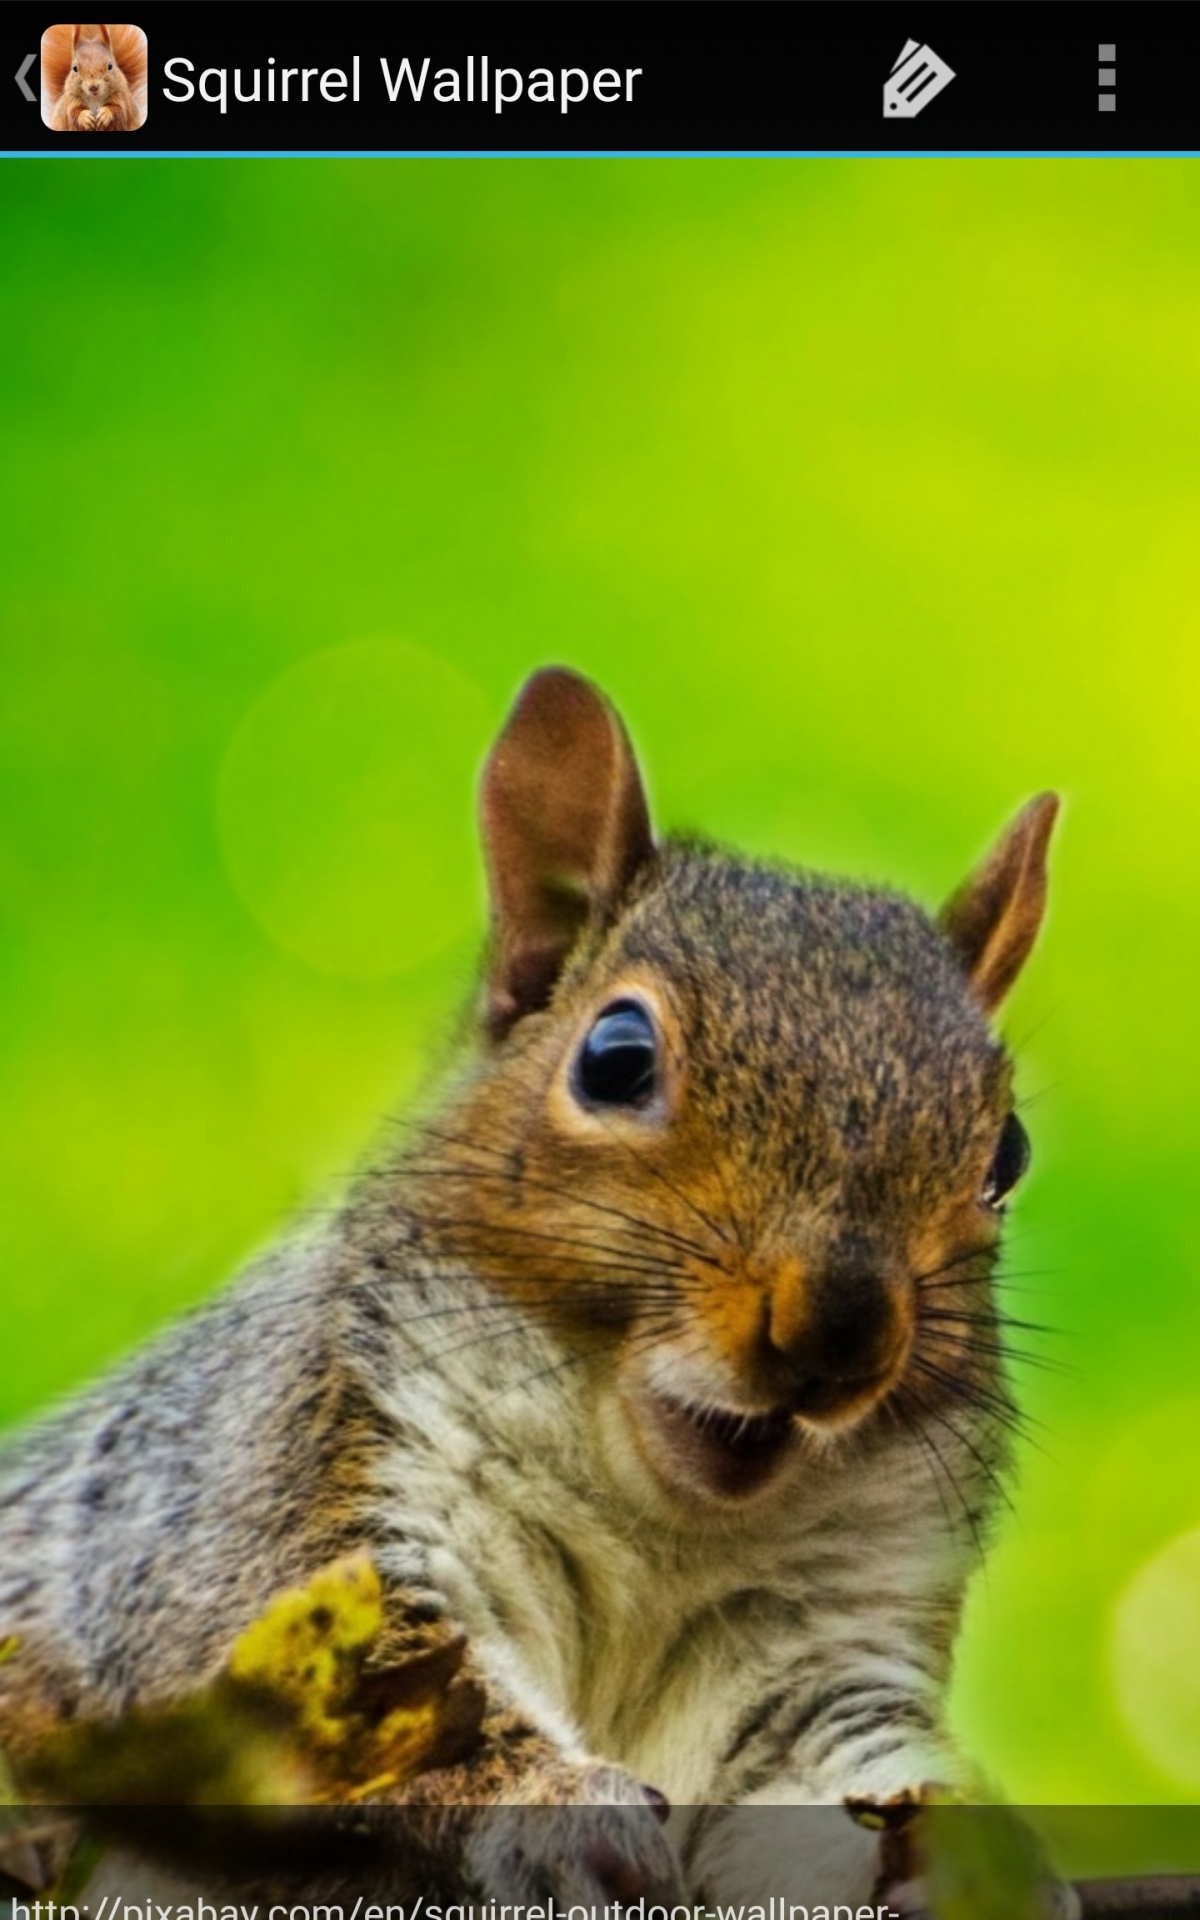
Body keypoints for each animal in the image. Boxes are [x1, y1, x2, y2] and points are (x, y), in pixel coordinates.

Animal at [0, 668, 1058, 1909]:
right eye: (615, 1058)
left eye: (1008, 1155)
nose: (839, 1330)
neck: (661, 1526)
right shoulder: (279, 1509)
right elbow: (385, 1715)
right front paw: (559, 1809)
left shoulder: (808, 1656)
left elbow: (817, 1784)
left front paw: (969, 1856)